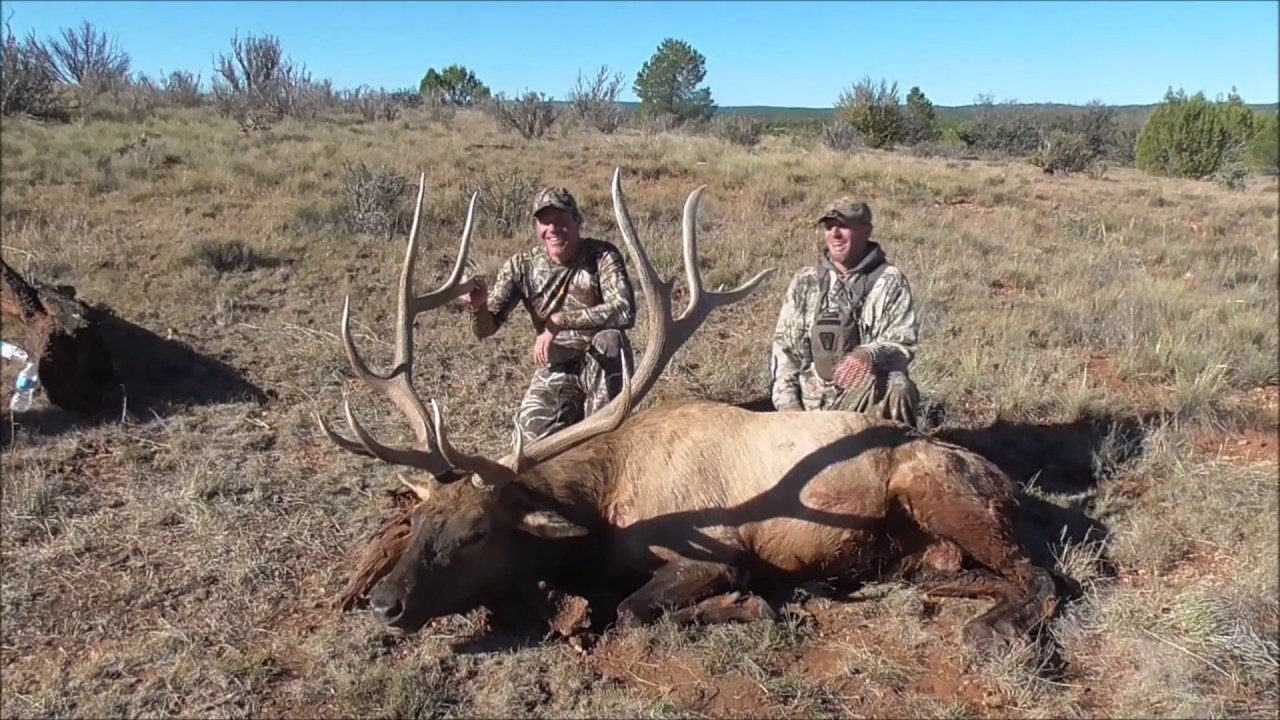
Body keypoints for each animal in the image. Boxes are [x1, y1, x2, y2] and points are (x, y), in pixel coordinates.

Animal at [315, 168, 1060, 652]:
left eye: (475, 533)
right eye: (418, 522)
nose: (385, 603)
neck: (603, 506)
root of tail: (1008, 484)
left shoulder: (719, 548)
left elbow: (634, 610)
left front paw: (748, 605)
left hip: (936, 488)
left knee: (1043, 576)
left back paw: (989, 628)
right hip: (931, 545)